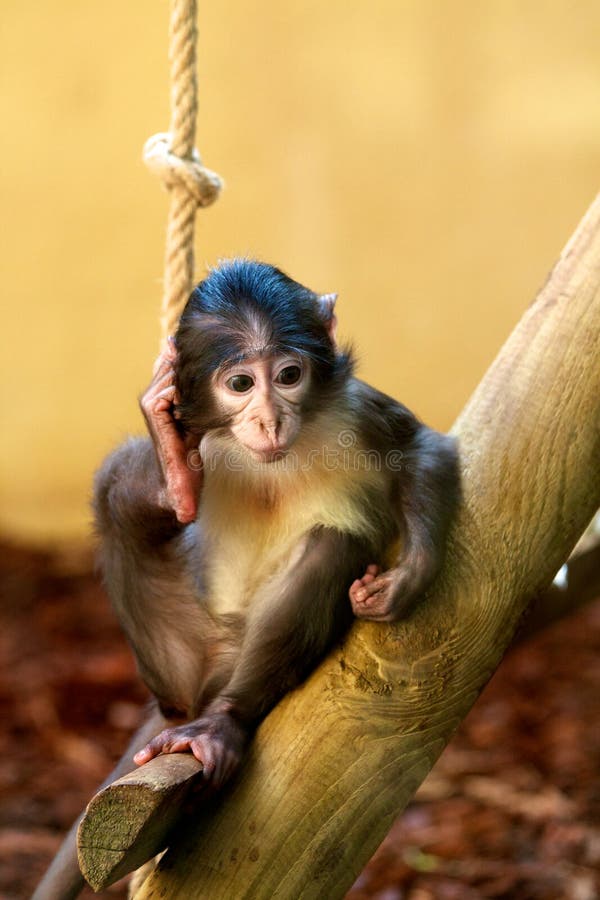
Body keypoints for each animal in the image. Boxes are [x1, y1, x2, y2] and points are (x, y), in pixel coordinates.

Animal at [34, 259, 459, 899]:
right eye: (240, 384)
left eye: (288, 375)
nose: (268, 417)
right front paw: (172, 460)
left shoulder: (355, 406)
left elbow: (418, 447)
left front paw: (409, 576)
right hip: (179, 657)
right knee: (114, 490)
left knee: (332, 543)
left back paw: (225, 722)